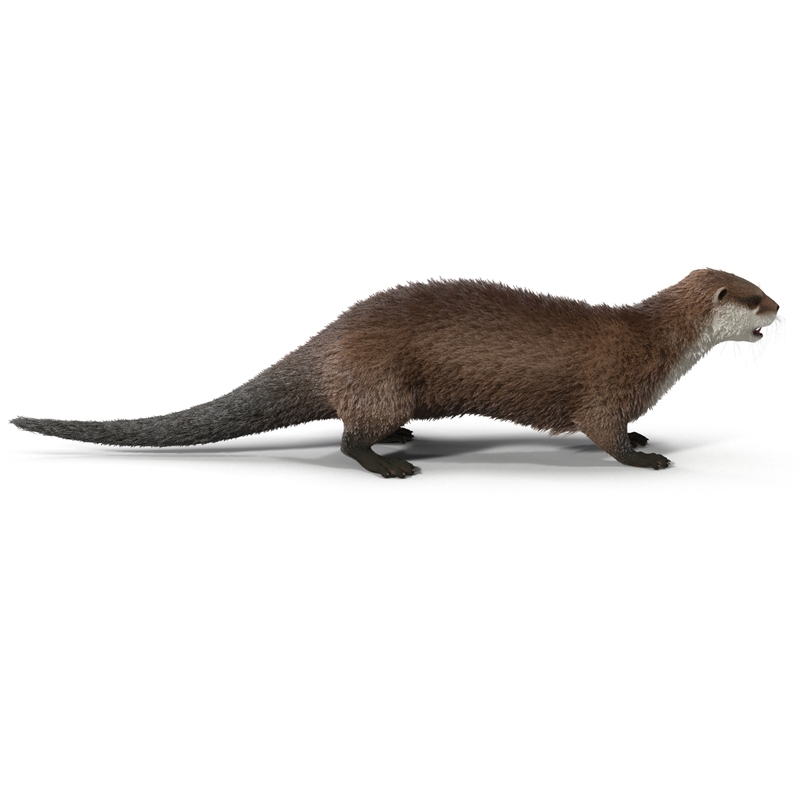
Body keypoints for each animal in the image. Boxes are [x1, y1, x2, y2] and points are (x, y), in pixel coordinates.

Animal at [11, 269, 779, 477]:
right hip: (379, 381)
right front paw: (644, 458)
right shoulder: (608, 386)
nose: (780, 306)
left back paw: (402, 441)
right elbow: (603, 431)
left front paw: (647, 440)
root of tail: (329, 344)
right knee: (349, 437)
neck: (657, 343)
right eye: (755, 296)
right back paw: (389, 464)